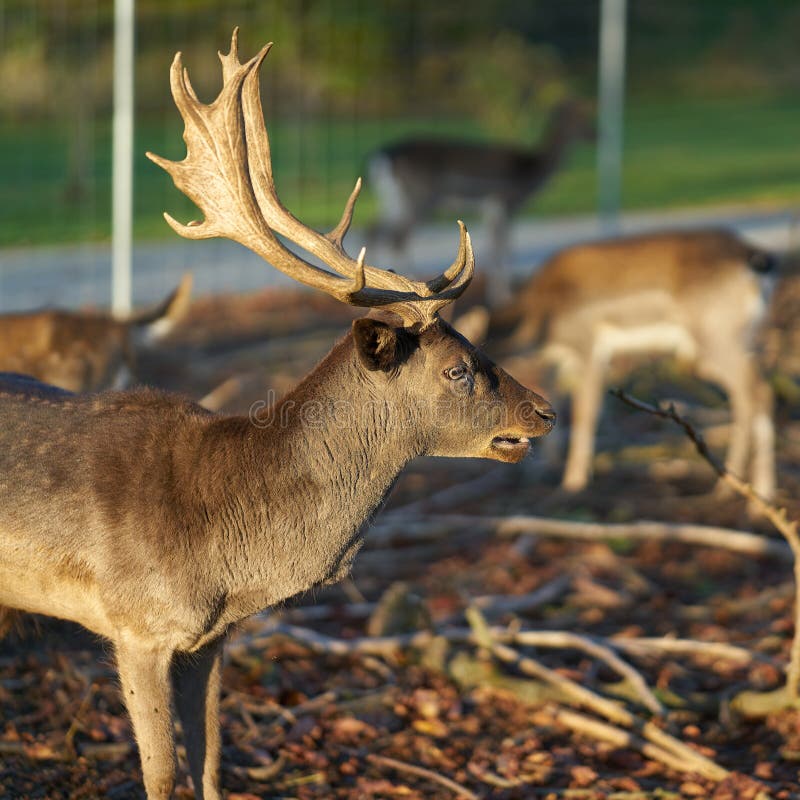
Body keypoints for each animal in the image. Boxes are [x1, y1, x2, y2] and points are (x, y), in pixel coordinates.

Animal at [367, 100, 593, 307]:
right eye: (579, 117)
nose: (595, 132)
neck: (530, 172)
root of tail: (380, 158)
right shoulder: (501, 202)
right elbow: (500, 248)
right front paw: (501, 297)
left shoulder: (501, 210)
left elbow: (502, 247)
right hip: (419, 197)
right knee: (398, 237)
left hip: (394, 200)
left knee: (376, 230)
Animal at [483, 228, 777, 500]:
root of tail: (756, 259)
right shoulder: (557, 360)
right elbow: (552, 400)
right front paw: (542, 471)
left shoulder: (588, 348)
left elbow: (585, 412)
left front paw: (573, 484)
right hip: (737, 341)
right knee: (751, 392)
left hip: (714, 338)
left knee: (755, 391)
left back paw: (745, 491)